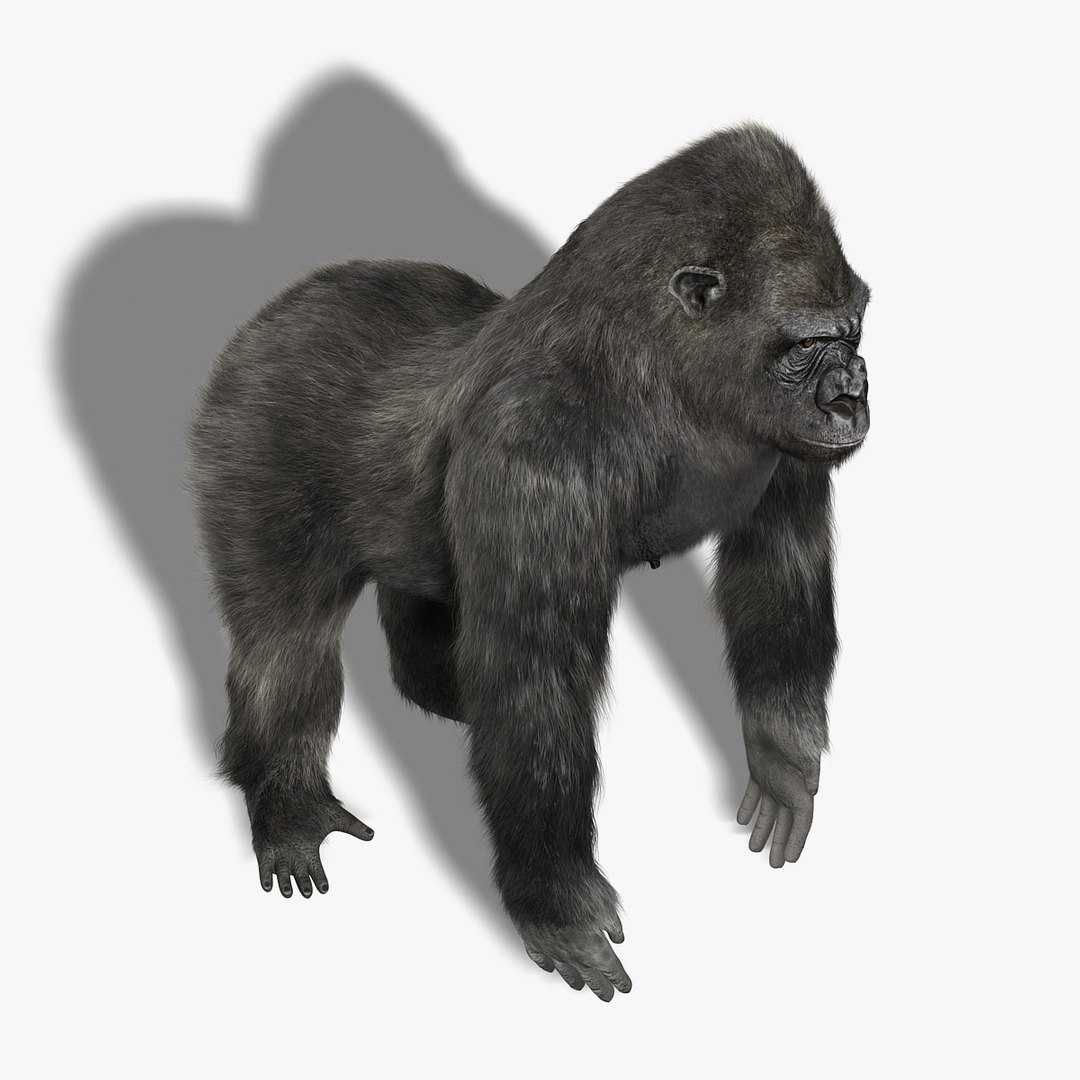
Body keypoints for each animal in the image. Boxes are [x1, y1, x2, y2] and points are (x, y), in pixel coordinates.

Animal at [188, 123, 870, 1002]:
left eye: (852, 333)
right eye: (809, 342)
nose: (852, 395)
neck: (657, 369)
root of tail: (271, 314)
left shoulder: (783, 447)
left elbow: (779, 583)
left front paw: (783, 760)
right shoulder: (536, 453)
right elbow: (536, 686)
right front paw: (558, 905)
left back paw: (439, 690)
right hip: (246, 425)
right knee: (286, 644)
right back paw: (287, 799)